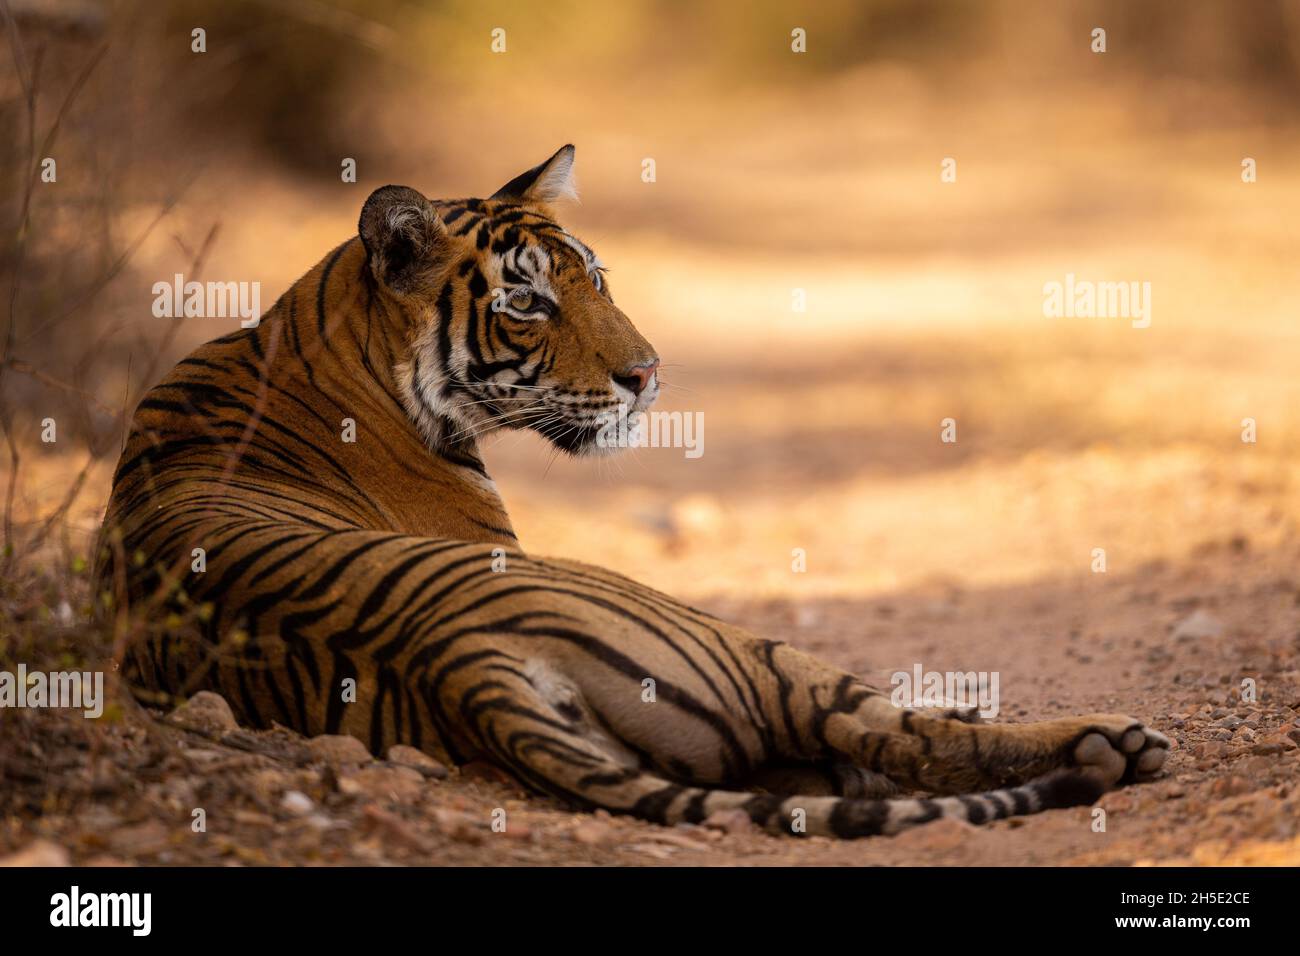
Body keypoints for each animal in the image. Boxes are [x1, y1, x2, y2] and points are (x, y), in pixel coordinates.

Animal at [95, 145, 1169, 839]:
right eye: (526, 301)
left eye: (597, 278)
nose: (648, 375)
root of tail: (460, 658)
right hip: (746, 648)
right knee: (891, 730)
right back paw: (1119, 741)